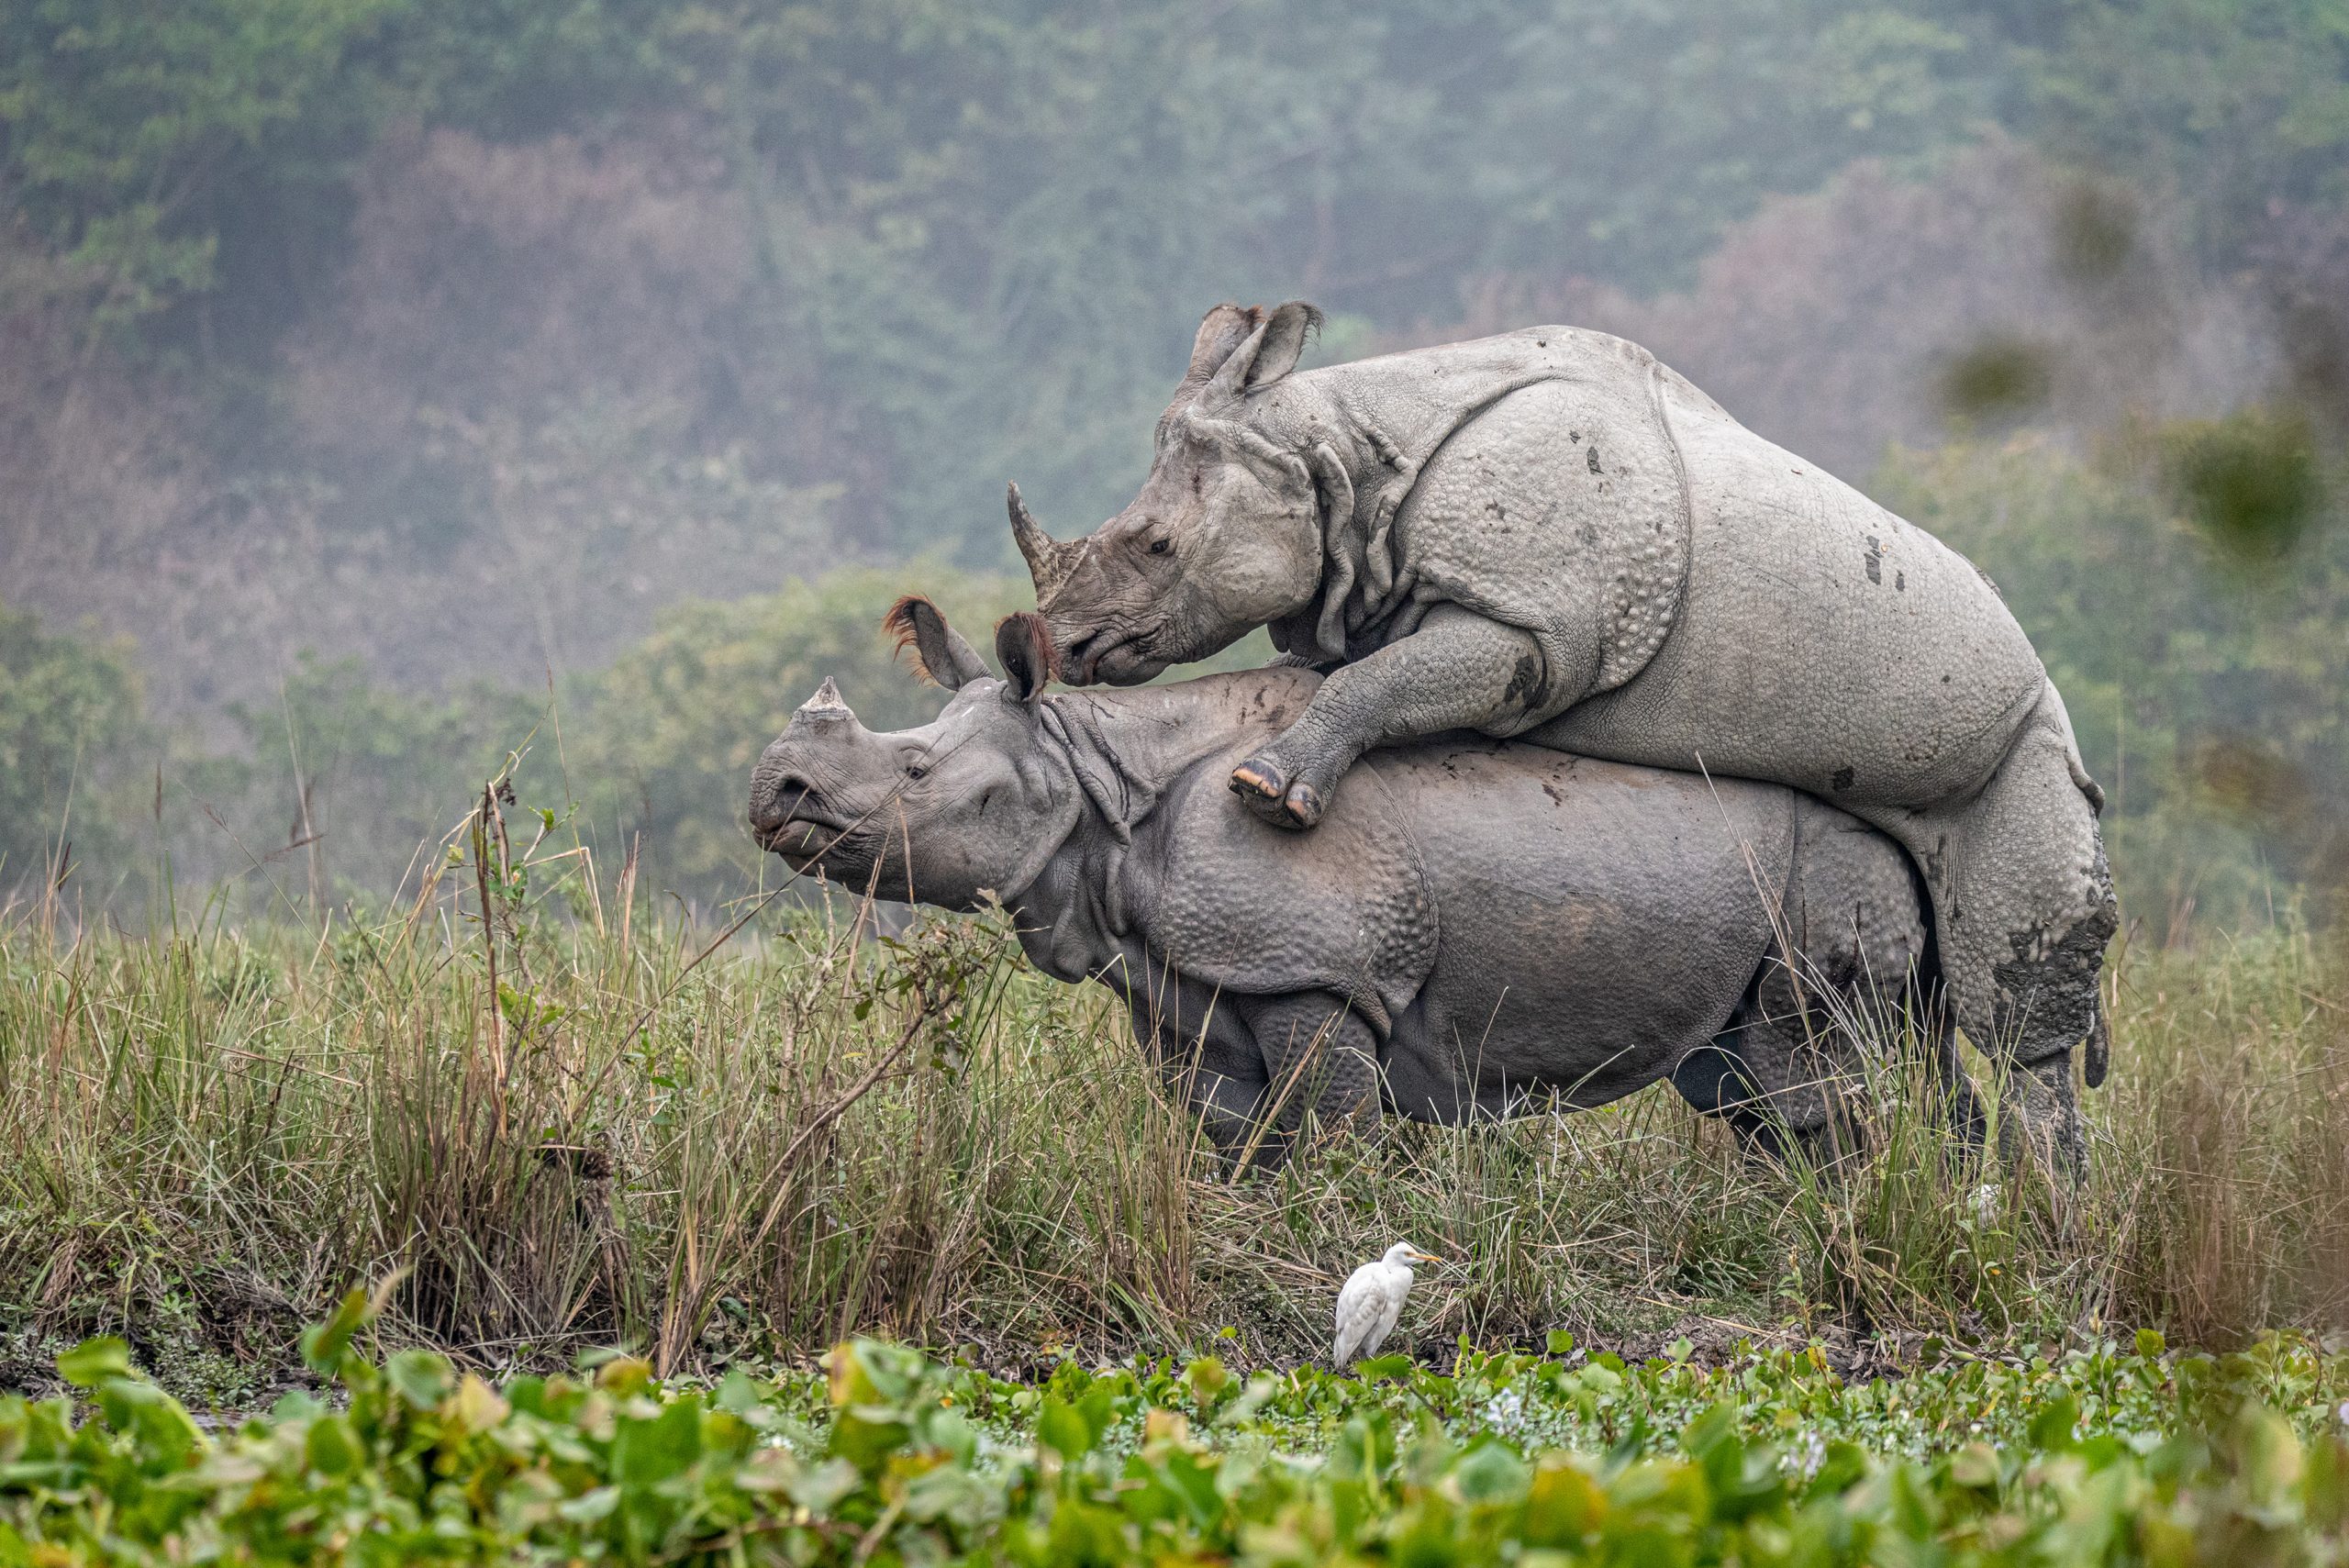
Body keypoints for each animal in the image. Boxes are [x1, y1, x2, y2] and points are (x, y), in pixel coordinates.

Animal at [747, 599, 1982, 1168]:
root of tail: (1909, 838)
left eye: (914, 773)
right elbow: (1230, 1132)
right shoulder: (1190, 979)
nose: (776, 793)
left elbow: (1325, 1125)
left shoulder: (1318, 969)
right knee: (1746, 1077)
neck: (1099, 779)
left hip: (1829, 863)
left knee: (1803, 1060)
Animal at [1005, 303, 2115, 1164]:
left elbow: (1381, 681)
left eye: (1156, 545)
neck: (1344, 455)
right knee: (1919, 1012)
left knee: (2011, 1012)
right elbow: (1365, 680)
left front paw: (1265, 795)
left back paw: (2035, 1226)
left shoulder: (1531, 626)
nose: (1064, 644)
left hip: (2024, 731)